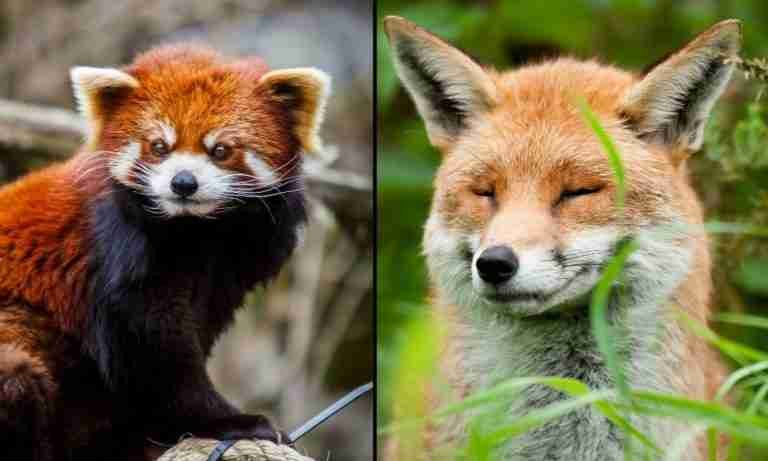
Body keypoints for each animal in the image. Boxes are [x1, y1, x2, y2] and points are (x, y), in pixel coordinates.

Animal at [0, 44, 329, 460]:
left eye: (220, 150)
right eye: (159, 146)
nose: (183, 182)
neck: (198, 230)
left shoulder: (235, 264)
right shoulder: (119, 251)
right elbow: (157, 349)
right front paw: (228, 421)